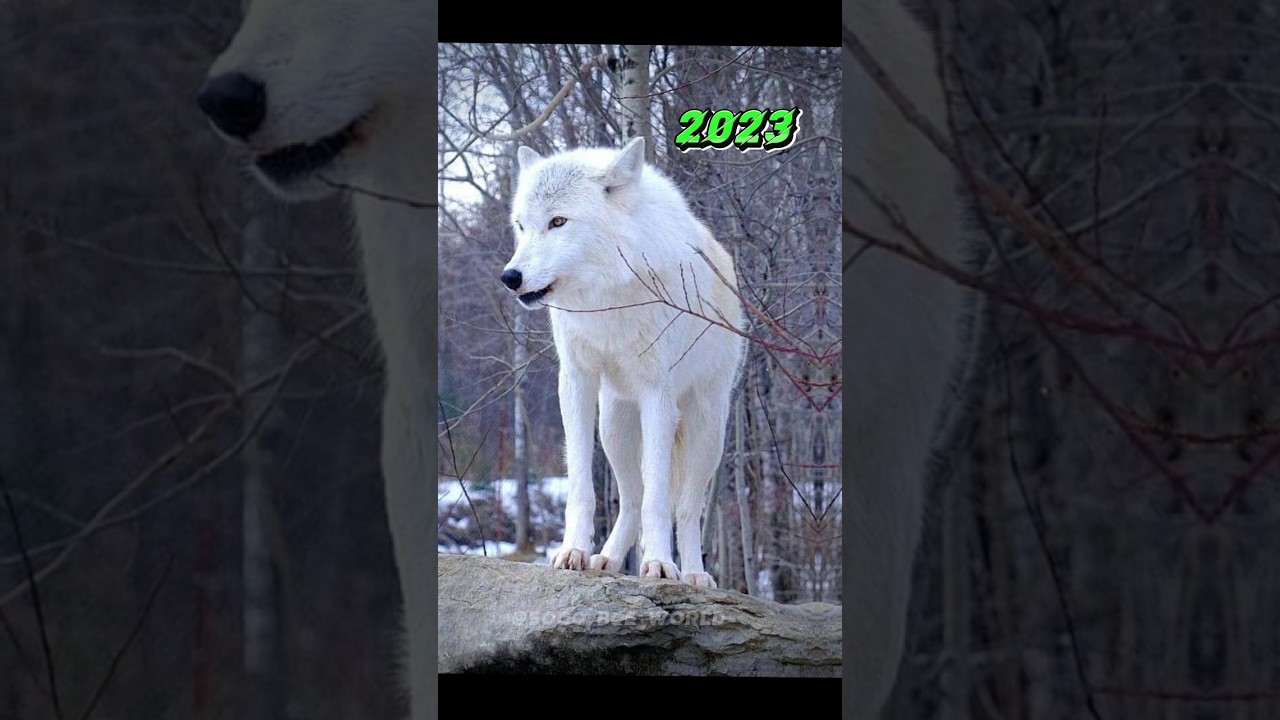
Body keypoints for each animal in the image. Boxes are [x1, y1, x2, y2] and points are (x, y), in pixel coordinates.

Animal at [501, 136, 747, 587]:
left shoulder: (658, 393)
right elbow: (581, 484)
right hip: (614, 426)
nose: (510, 278)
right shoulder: (576, 381)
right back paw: (608, 559)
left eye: (558, 222)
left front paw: (660, 565)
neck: (608, 297)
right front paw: (574, 551)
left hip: (706, 431)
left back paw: (694, 574)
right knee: (631, 499)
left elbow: (660, 498)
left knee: (685, 508)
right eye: (522, 225)